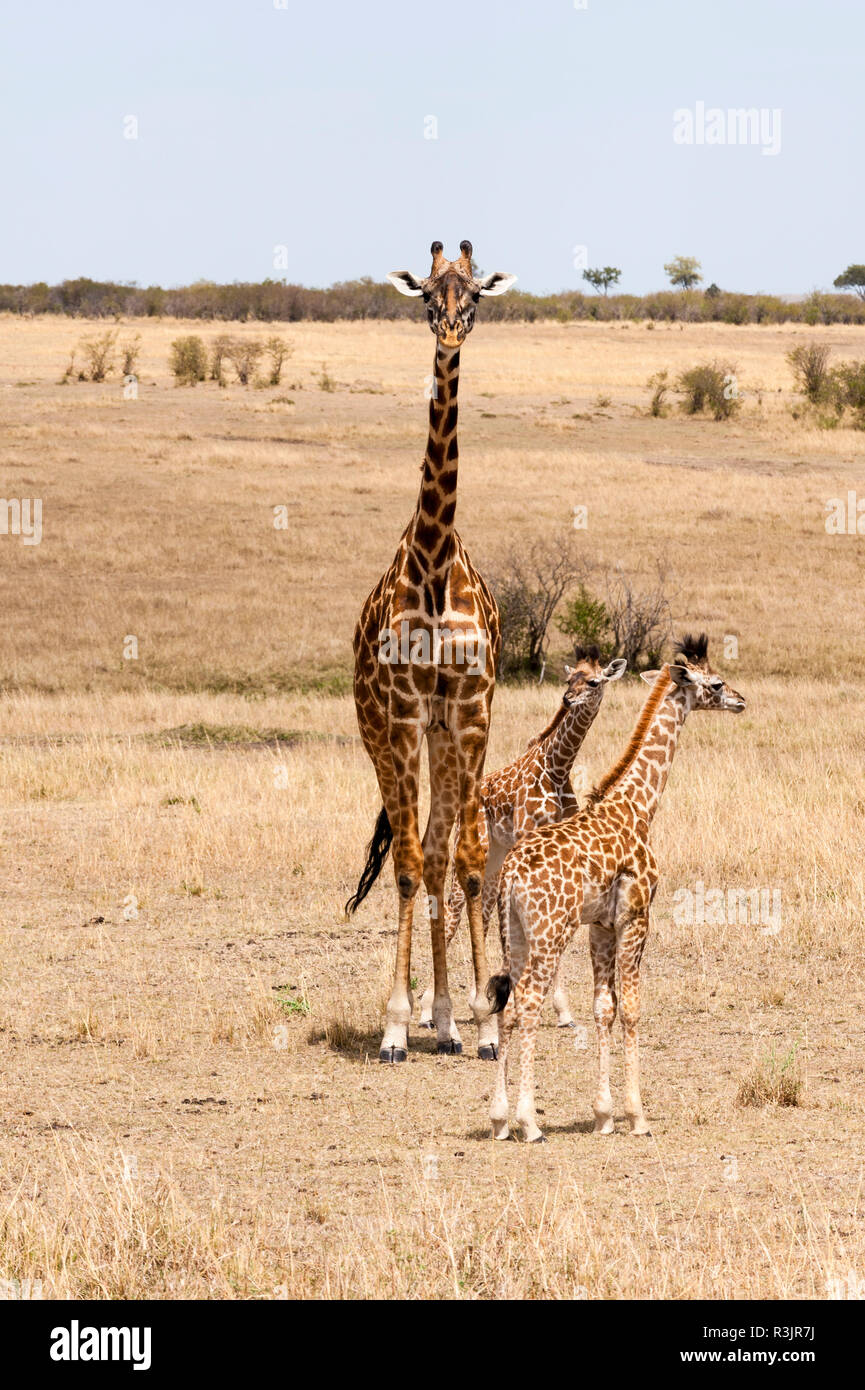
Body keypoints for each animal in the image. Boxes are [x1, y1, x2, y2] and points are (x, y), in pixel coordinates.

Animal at [418, 647, 627, 1049]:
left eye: (594, 681)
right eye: (569, 678)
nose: (568, 699)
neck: (558, 767)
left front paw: (563, 1013)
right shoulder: (528, 837)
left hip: (496, 854)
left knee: (481, 913)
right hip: (477, 847)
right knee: (454, 910)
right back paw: (427, 1013)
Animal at [486, 634, 746, 1142]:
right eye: (716, 682)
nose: (742, 701)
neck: (639, 806)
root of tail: (510, 875)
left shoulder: (600, 927)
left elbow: (603, 1008)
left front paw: (603, 1116)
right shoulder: (636, 917)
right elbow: (631, 1009)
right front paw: (637, 1115)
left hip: (516, 935)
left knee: (506, 1007)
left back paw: (500, 1120)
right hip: (549, 935)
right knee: (527, 1004)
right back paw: (529, 1122)